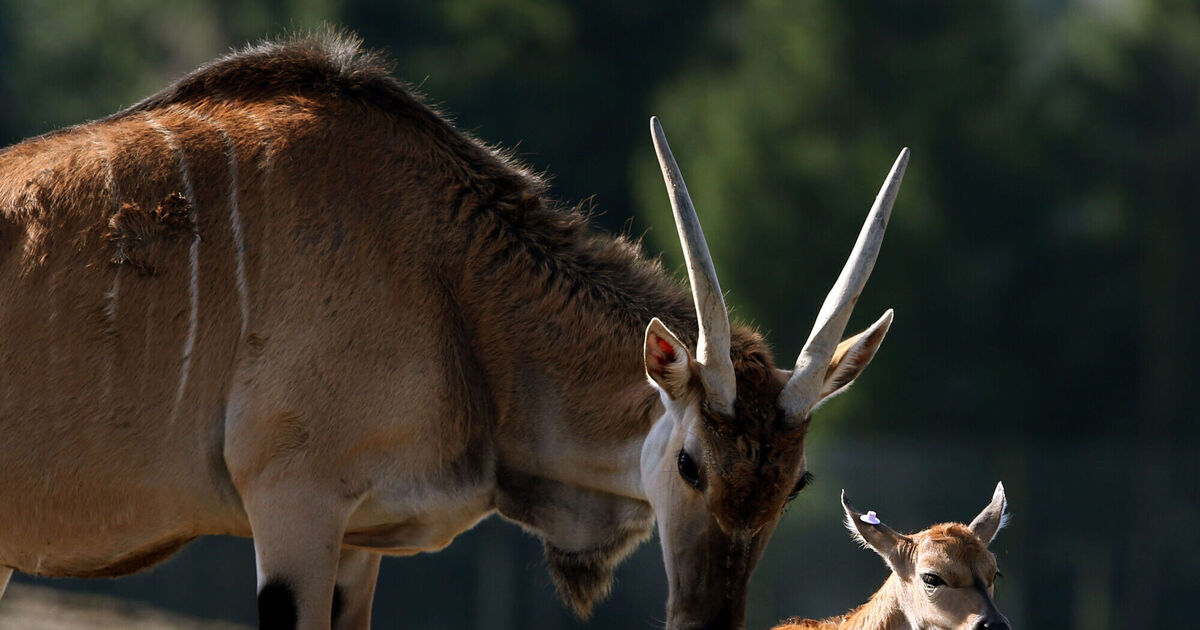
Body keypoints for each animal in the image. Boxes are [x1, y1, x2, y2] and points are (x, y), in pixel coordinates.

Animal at [0, 33, 908, 630]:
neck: (447, 279)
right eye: (690, 463)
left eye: (796, 483)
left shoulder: (356, 542)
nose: (706, 623)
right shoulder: (293, 508)